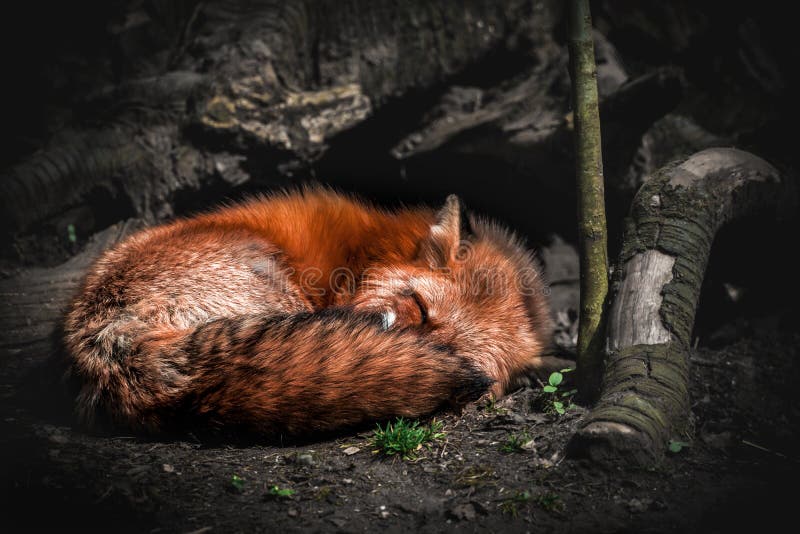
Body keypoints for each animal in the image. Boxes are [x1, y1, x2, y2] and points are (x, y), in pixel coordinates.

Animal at [63, 188, 556, 437]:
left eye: (456, 352)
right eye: (418, 307)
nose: (386, 336)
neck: (362, 257)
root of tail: (110, 342)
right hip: (271, 277)